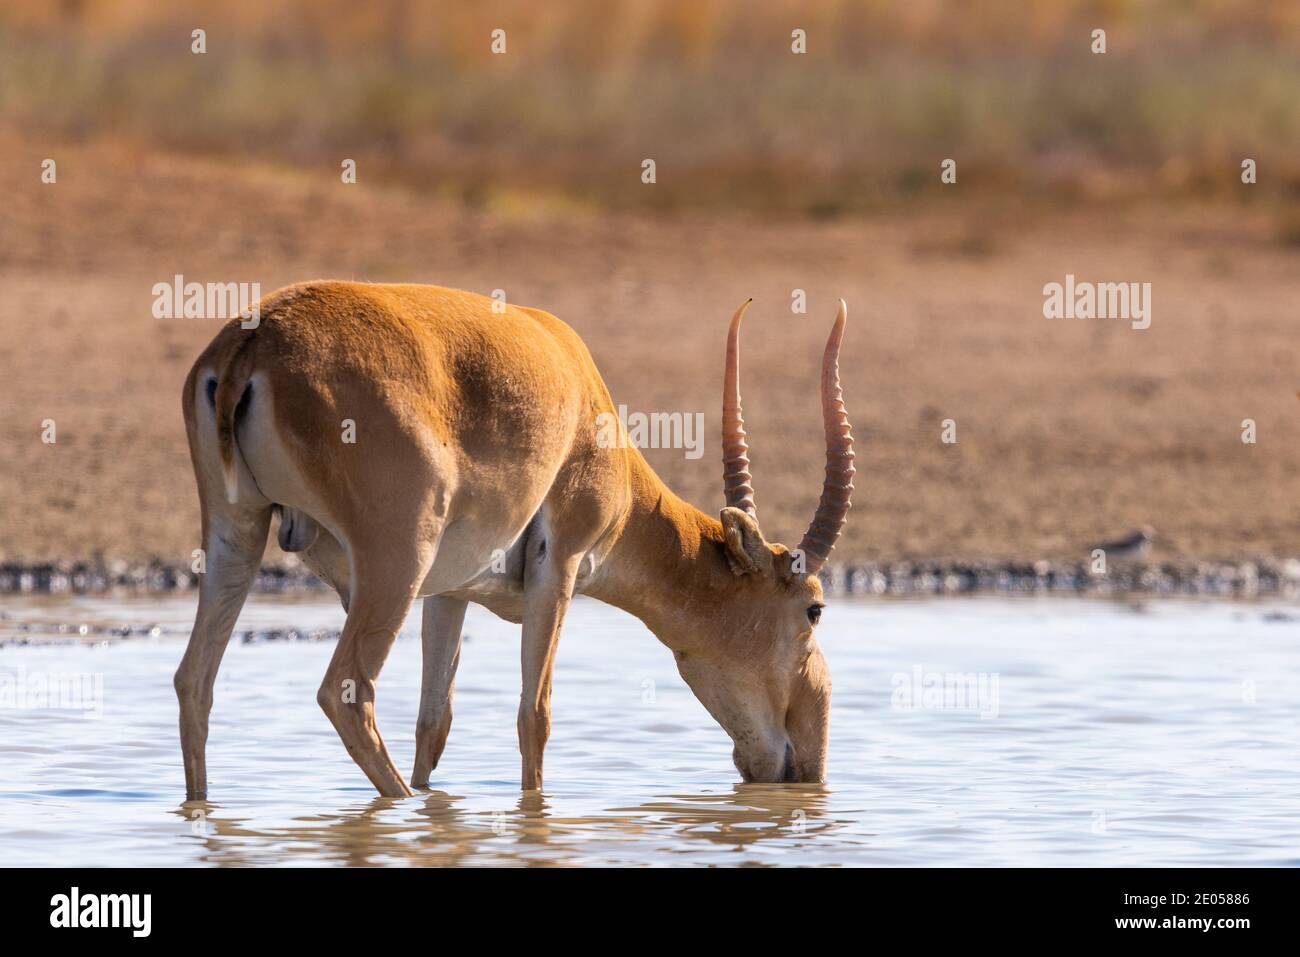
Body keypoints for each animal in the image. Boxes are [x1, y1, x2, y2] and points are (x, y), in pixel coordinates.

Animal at [176, 283, 854, 798]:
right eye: (814, 610)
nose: (809, 765)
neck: (582, 398)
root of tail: (257, 337)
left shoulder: (448, 594)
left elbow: (435, 721)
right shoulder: (561, 566)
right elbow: (536, 713)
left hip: (238, 536)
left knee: (195, 681)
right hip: (394, 565)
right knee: (346, 694)